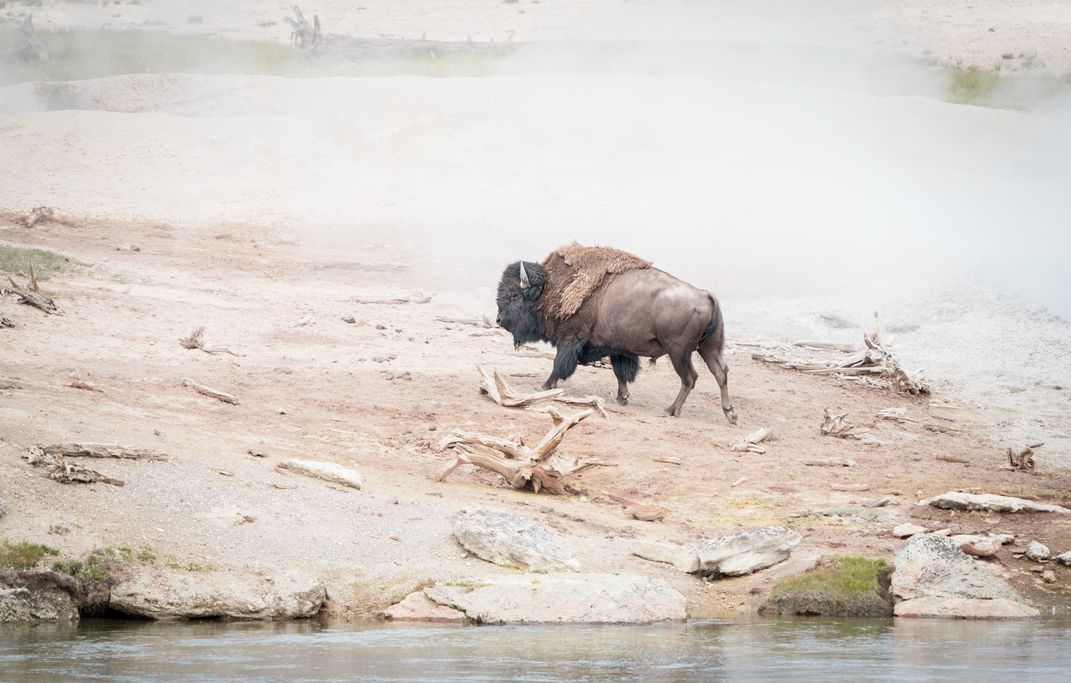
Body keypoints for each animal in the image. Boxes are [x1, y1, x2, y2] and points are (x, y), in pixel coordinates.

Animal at [496, 245, 736, 424]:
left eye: (514, 294)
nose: (498, 319)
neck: (552, 286)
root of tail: (705, 296)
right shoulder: (617, 349)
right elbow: (620, 373)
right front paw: (622, 398)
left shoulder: (570, 339)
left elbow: (559, 364)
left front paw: (545, 386)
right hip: (709, 348)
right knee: (721, 373)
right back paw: (730, 413)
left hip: (679, 352)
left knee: (690, 378)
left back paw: (670, 409)